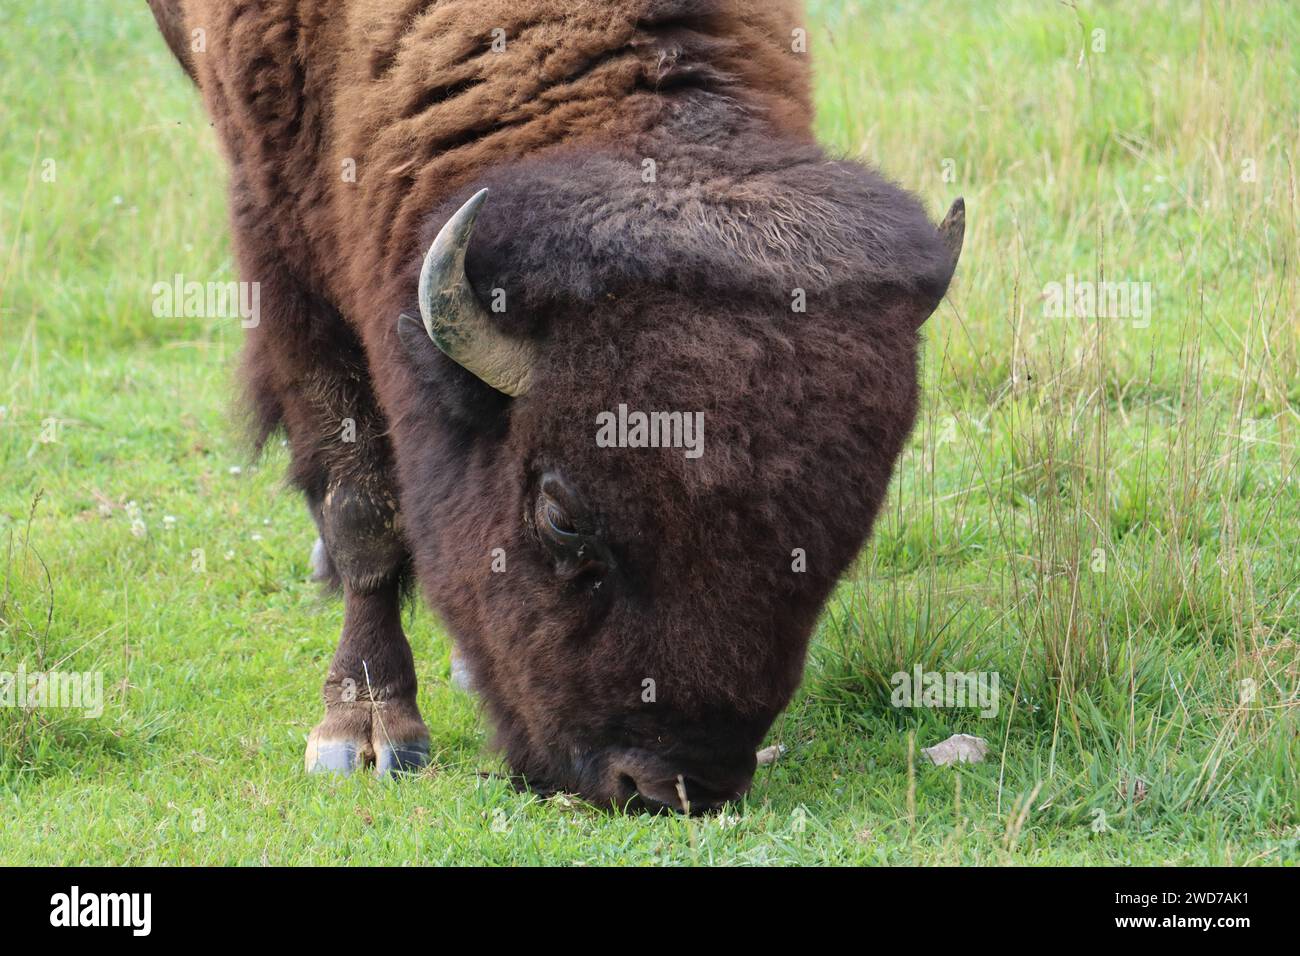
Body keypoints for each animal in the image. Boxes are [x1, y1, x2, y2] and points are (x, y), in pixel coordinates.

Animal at [147, 0, 963, 812]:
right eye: (561, 517)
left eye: (845, 528)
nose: (672, 785)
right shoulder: (285, 249)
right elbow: (362, 512)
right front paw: (363, 730)